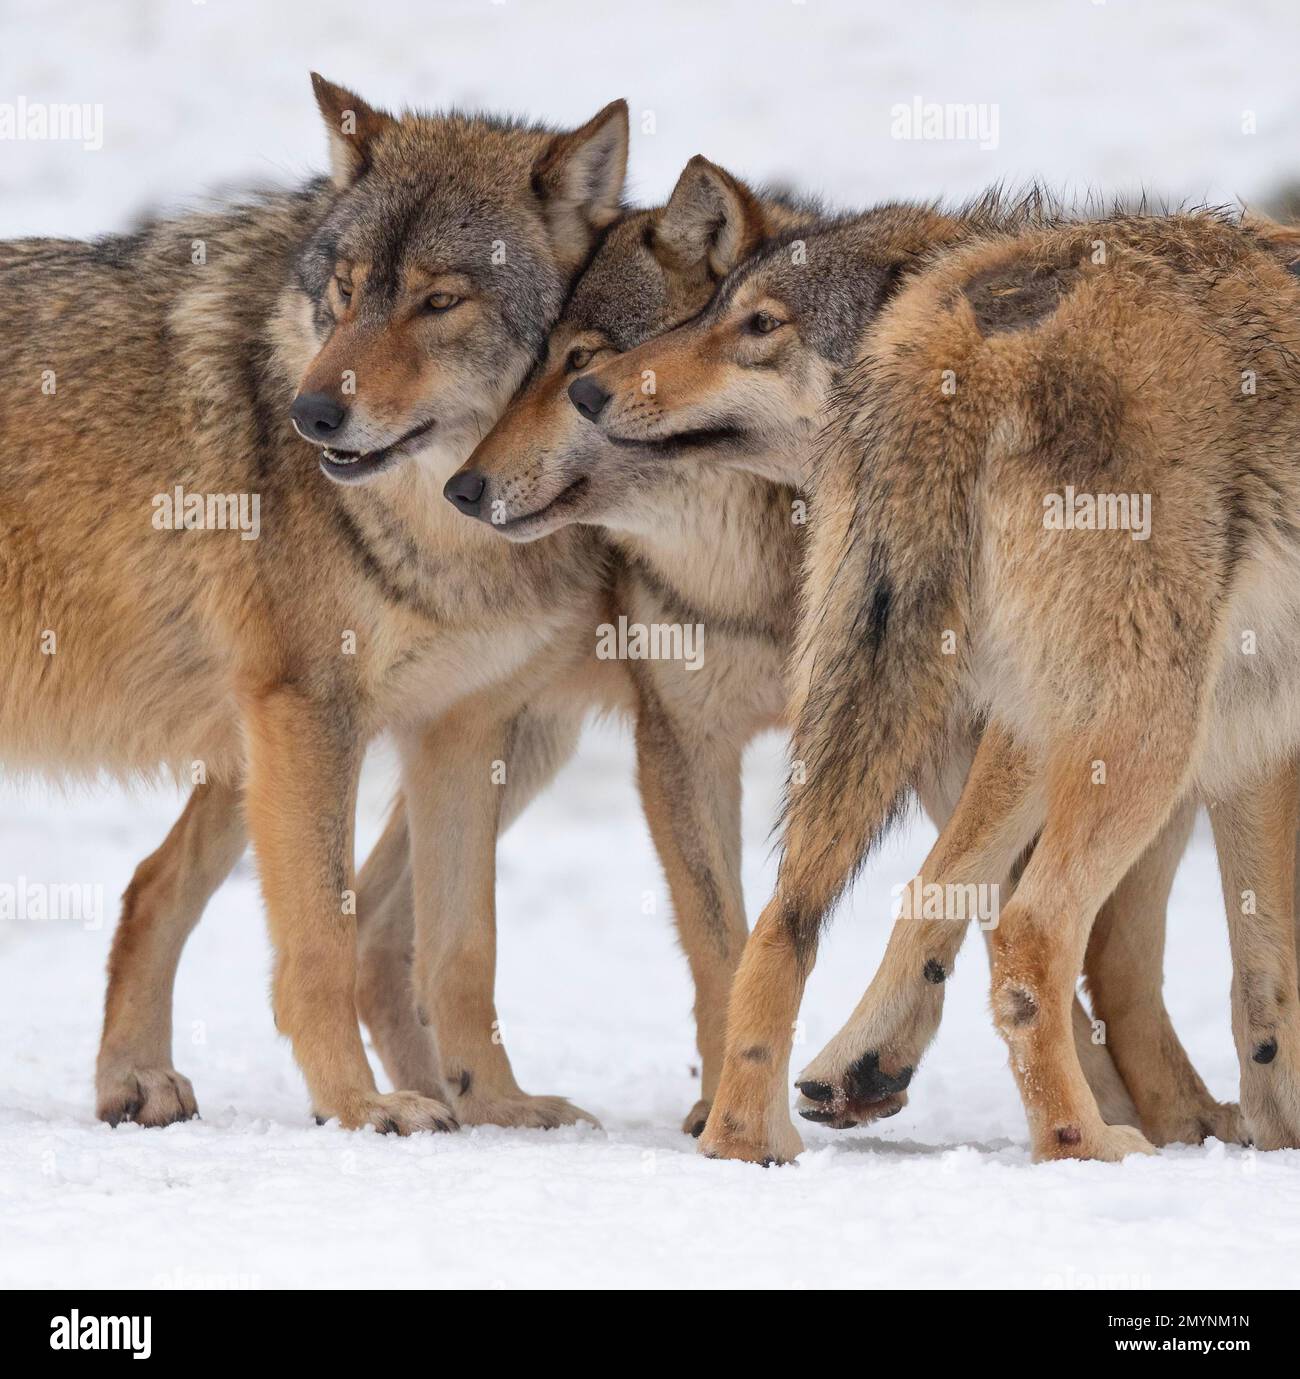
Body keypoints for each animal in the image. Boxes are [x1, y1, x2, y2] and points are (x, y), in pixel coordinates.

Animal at [5, 73, 631, 1133]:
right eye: (341, 295)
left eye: (438, 301)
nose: (310, 415)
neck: (446, 531)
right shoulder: (312, 709)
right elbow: (322, 945)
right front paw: (360, 1103)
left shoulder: (462, 730)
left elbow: (462, 953)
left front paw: (498, 1105)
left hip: (252, 751)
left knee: (149, 884)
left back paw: (136, 1080)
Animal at [444, 181, 1240, 1148]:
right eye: (543, 364)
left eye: (583, 358)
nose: (462, 489)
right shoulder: (692, 734)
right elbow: (741, 927)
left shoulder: (974, 724)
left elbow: (970, 891)